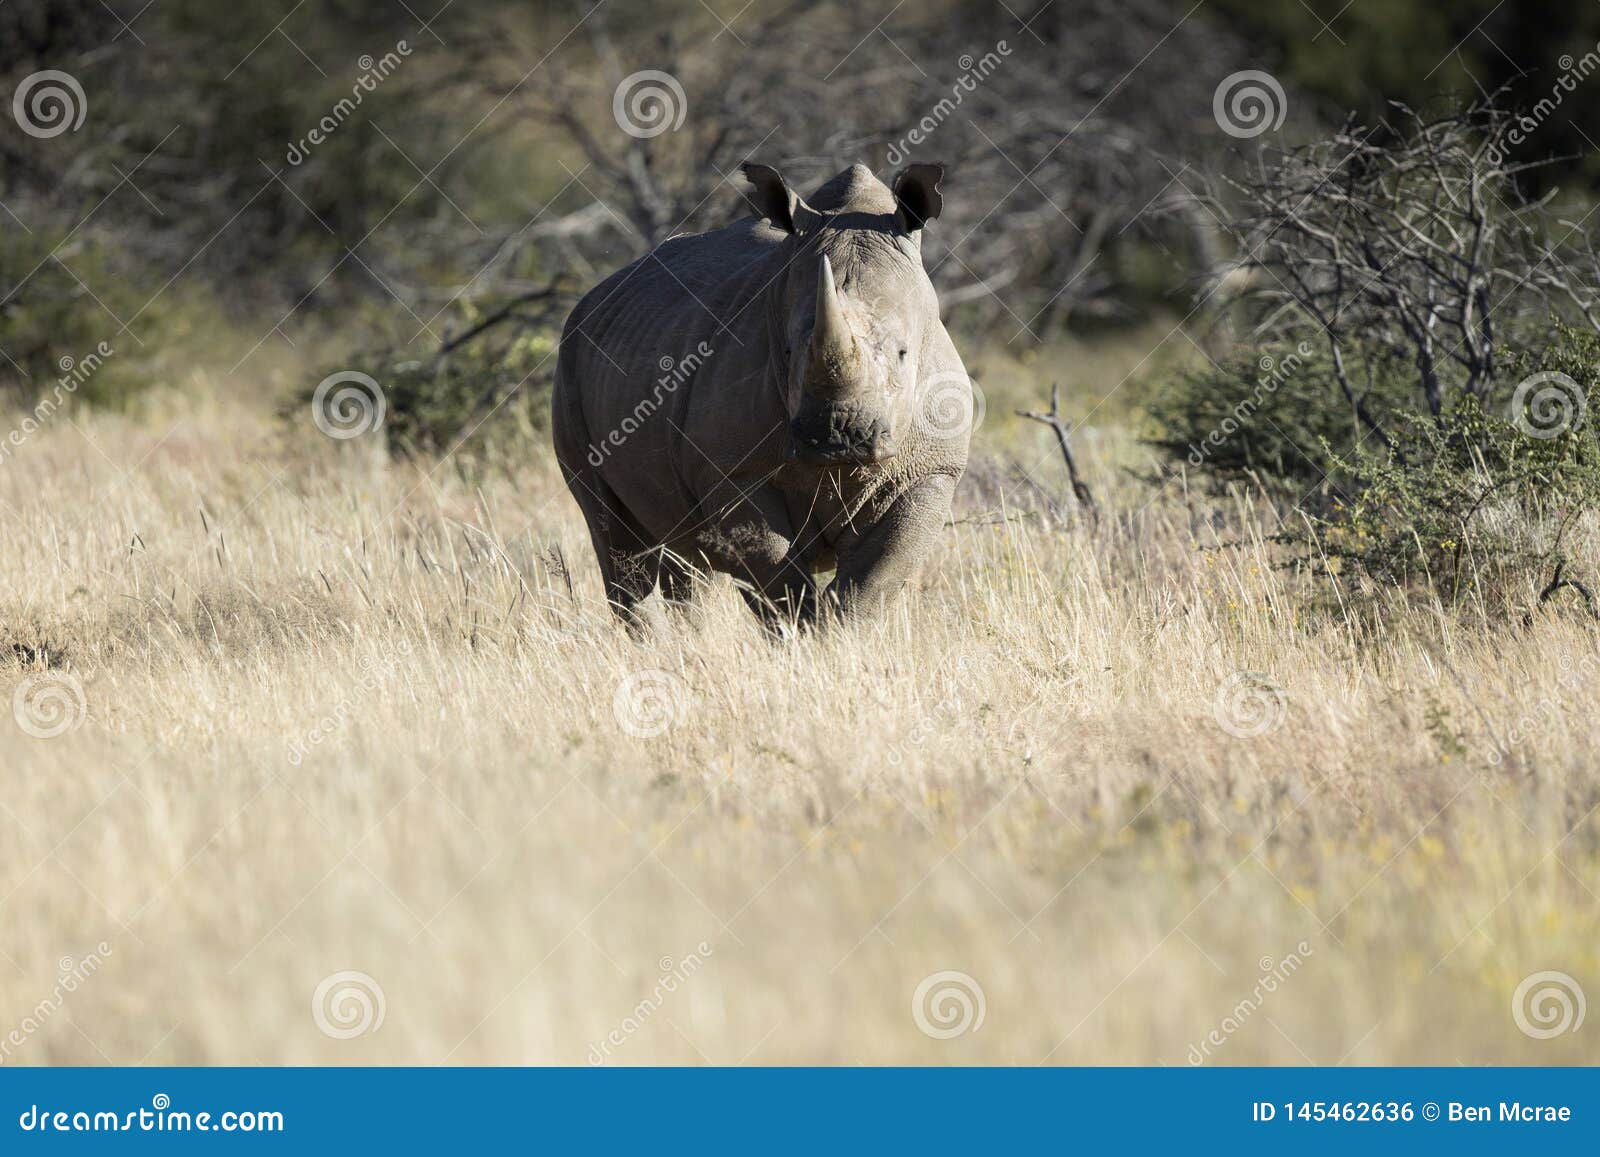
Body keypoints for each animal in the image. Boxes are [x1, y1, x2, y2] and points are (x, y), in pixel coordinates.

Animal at [552, 161, 972, 626]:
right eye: (788, 352)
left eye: (902, 353)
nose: (838, 438)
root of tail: (595, 296)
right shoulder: (733, 471)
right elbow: (778, 580)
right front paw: (805, 636)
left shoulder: (932, 469)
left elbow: (874, 579)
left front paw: (842, 633)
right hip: (570, 360)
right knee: (617, 538)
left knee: (688, 556)